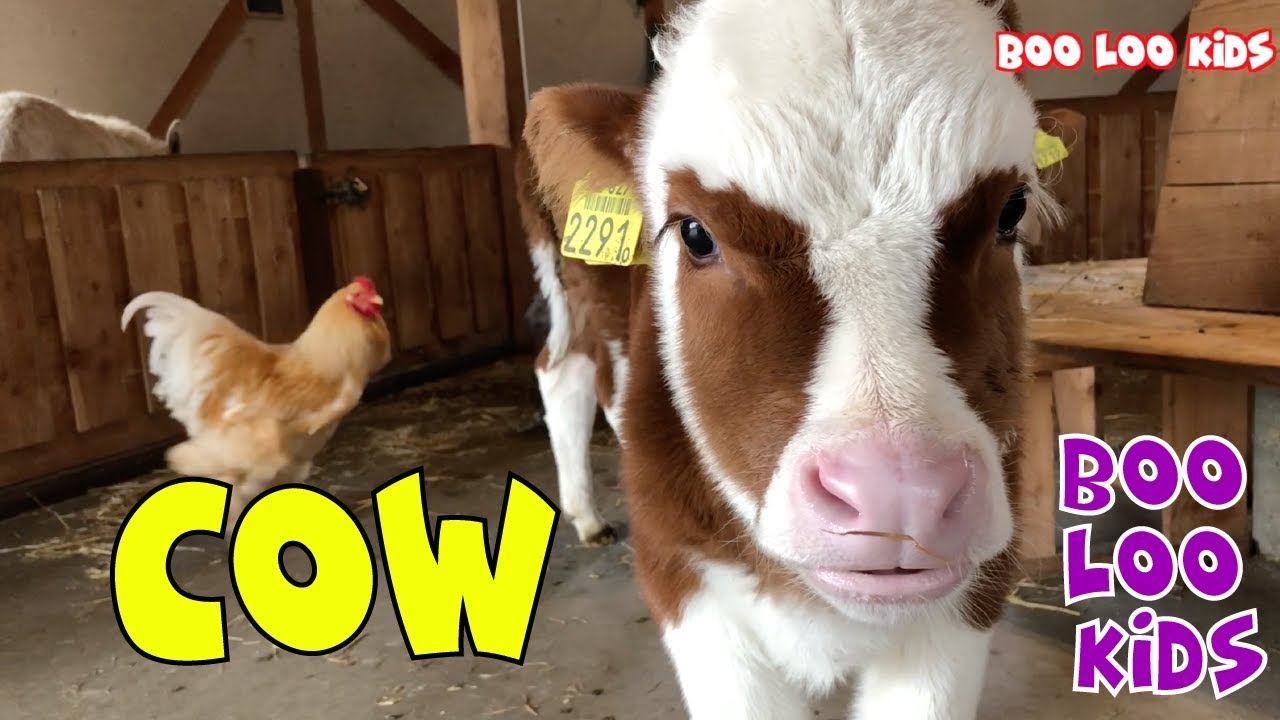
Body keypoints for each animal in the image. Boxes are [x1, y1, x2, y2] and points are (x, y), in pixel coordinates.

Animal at [517, 0, 1061, 717]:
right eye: (696, 234)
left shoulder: (973, 594)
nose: (897, 495)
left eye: (1012, 210)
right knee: (565, 373)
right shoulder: (684, 578)